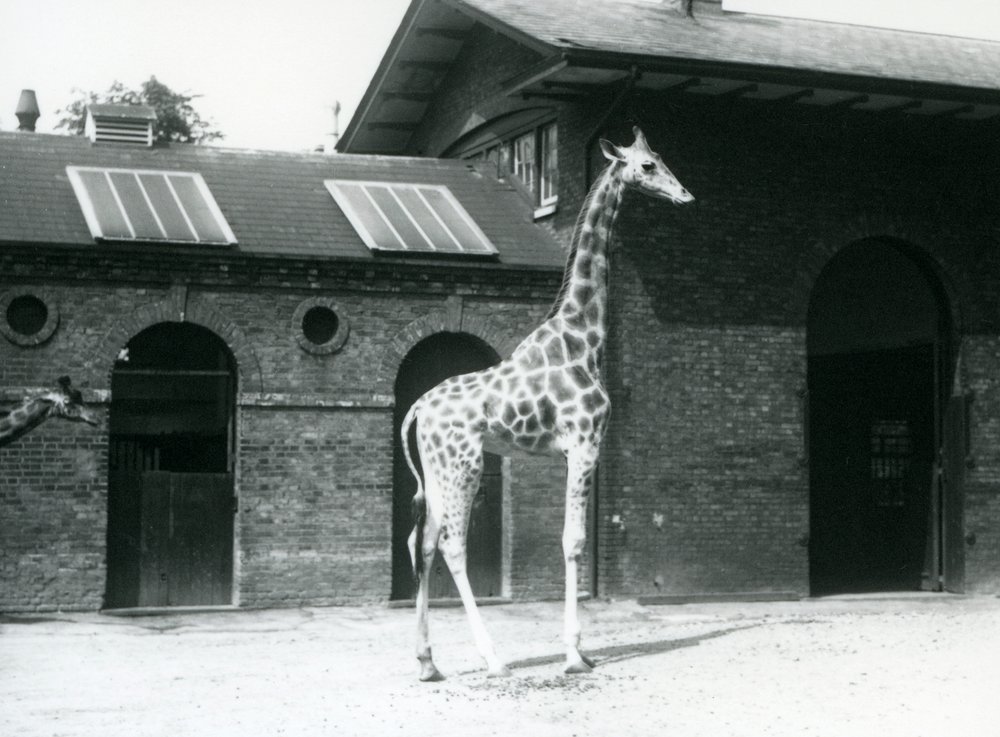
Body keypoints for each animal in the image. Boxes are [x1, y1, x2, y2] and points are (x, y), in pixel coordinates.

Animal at [400, 126, 694, 681]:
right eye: (647, 166)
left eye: (662, 158)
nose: (684, 195)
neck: (584, 337)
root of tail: (416, 410)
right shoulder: (583, 444)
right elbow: (573, 541)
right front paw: (575, 655)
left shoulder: (576, 450)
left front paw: (581, 651)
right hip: (465, 464)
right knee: (451, 544)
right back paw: (492, 658)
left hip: (435, 468)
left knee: (422, 543)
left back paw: (427, 663)